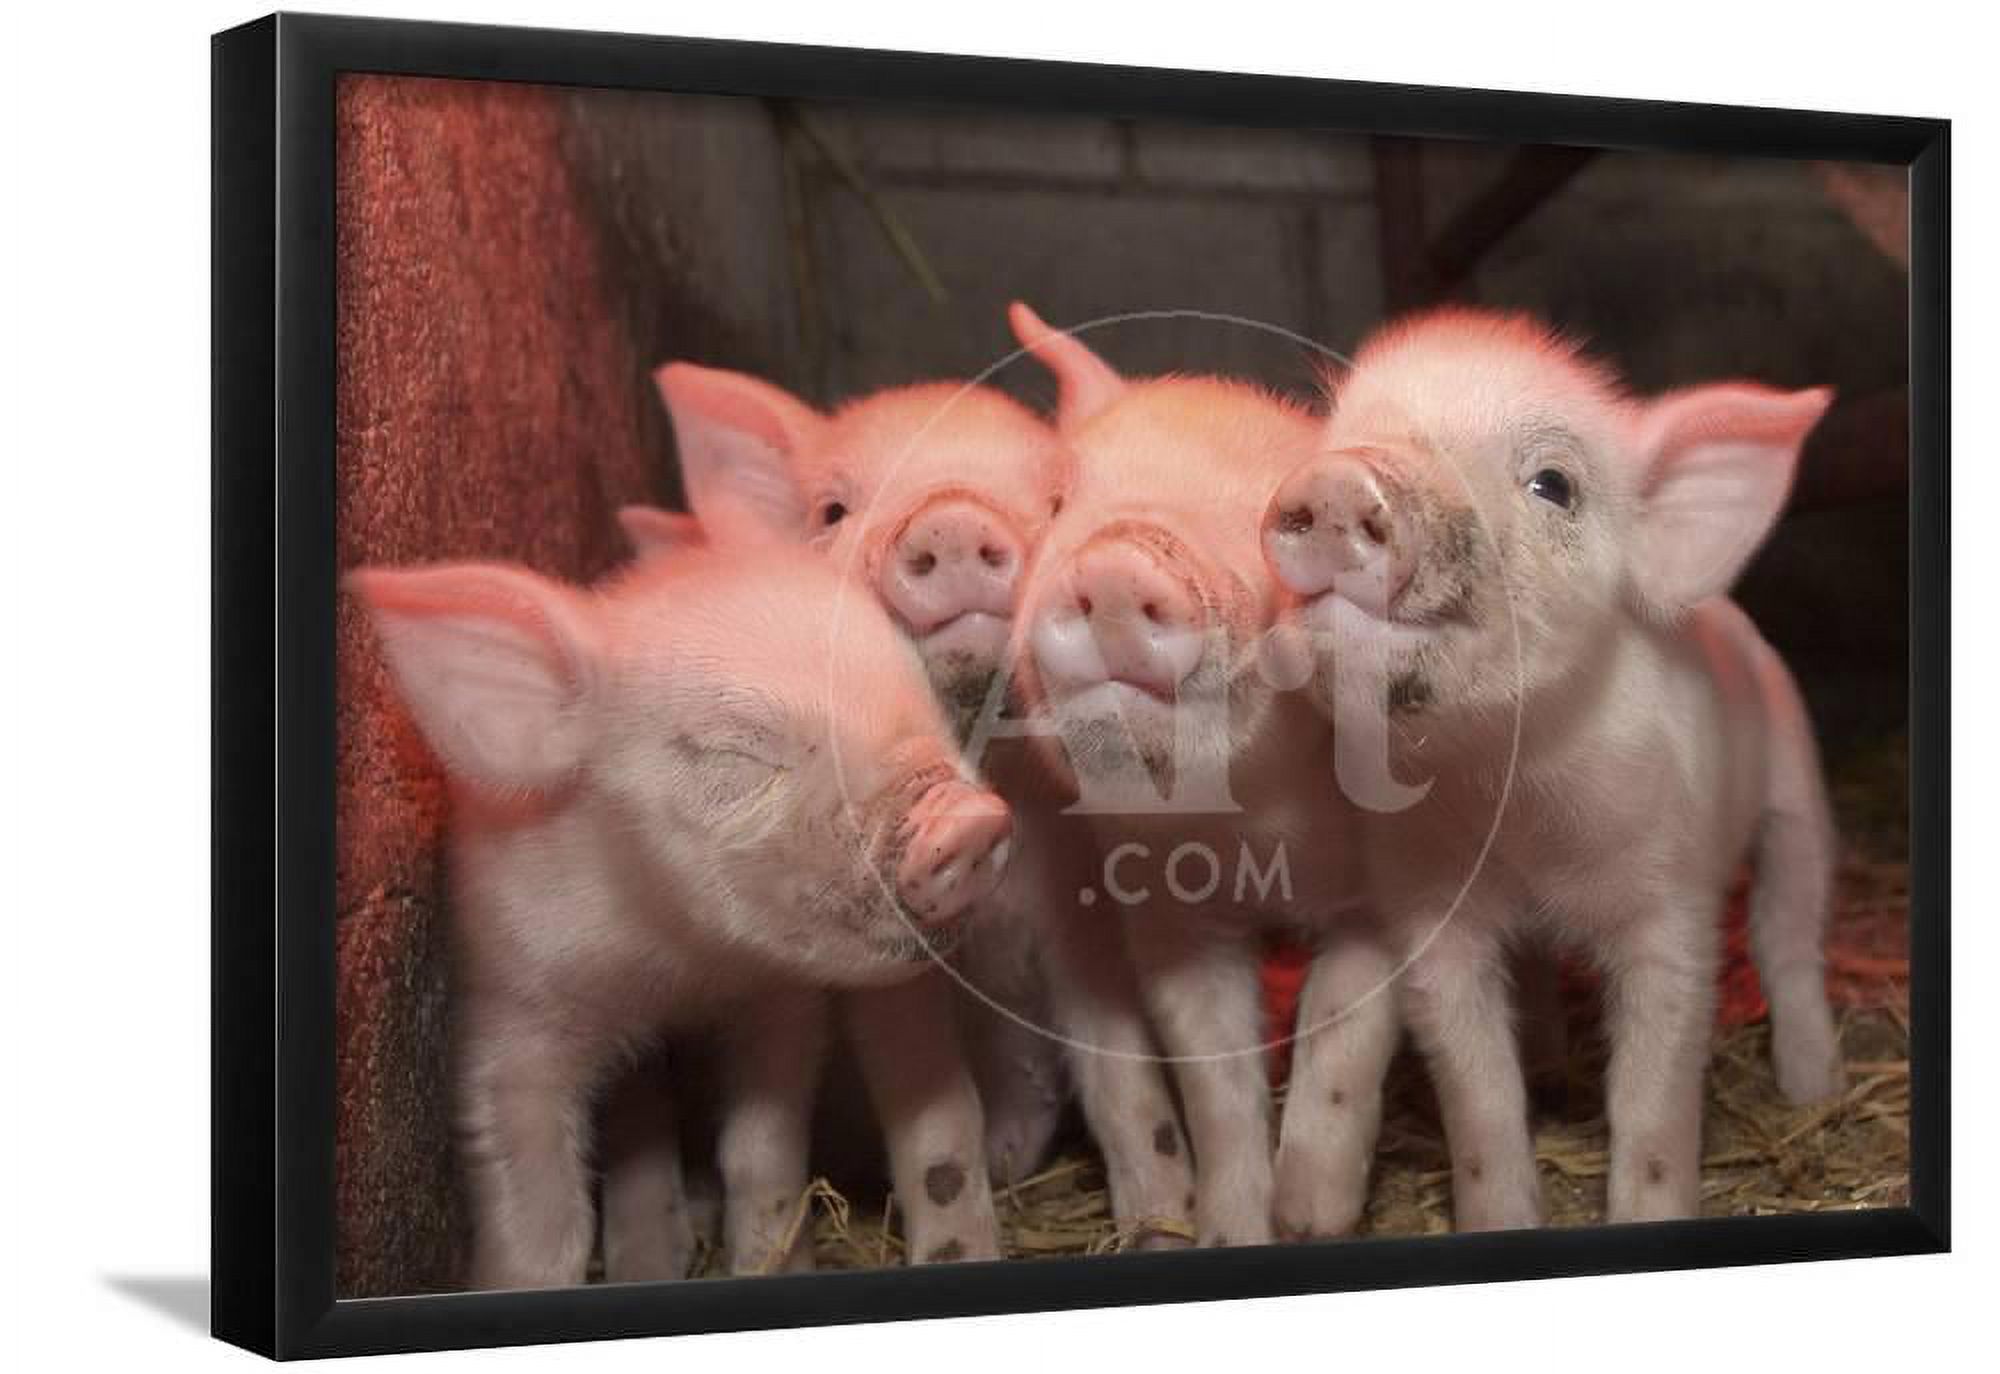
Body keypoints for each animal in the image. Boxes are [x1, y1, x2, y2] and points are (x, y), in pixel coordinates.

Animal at [346, 507, 1013, 1290]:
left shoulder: (777, 998)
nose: (968, 824)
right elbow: (541, 1221)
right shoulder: (509, 1005)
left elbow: (761, 1153)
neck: (671, 966)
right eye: (738, 754)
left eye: (922, 694)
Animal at [649, 359, 1201, 1248]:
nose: (950, 520)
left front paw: (1168, 1224)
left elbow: (1123, 1077)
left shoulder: (1079, 906)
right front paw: (958, 1246)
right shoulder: (886, 959)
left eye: (1055, 500)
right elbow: (939, 1121)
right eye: (831, 512)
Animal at [1005, 304, 1394, 1247]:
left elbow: (1343, 1020)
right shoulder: (1167, 916)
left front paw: (1311, 1219)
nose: (1115, 564)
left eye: (1280, 522)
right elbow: (1213, 1073)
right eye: (1058, 504)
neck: (1257, 824)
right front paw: (1232, 1232)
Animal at [1258, 307, 1844, 1229]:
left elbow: (1652, 1103)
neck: (1525, 812)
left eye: (1554, 485)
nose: (1345, 479)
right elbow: (1480, 1103)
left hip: (1796, 788)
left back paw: (1815, 1088)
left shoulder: (1671, 906)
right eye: (1341, 433)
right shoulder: (1433, 910)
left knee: (1789, 934)